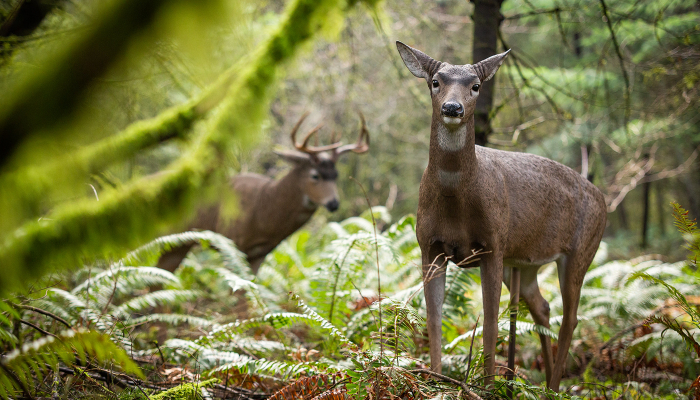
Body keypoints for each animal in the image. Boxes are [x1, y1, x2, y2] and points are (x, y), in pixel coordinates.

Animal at [156, 113, 370, 275]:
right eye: (315, 175)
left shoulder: (260, 254)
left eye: (336, 175)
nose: (333, 203)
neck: (263, 211)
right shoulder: (232, 244)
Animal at [396, 41, 606, 391]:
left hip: (582, 249)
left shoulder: (492, 244)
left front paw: (487, 385)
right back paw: (542, 382)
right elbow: (434, 319)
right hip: (521, 262)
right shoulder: (429, 246)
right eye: (435, 82)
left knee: (571, 317)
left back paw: (552, 388)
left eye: (476, 86)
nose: (452, 108)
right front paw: (437, 380)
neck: (455, 202)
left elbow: (491, 323)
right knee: (542, 307)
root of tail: (603, 199)